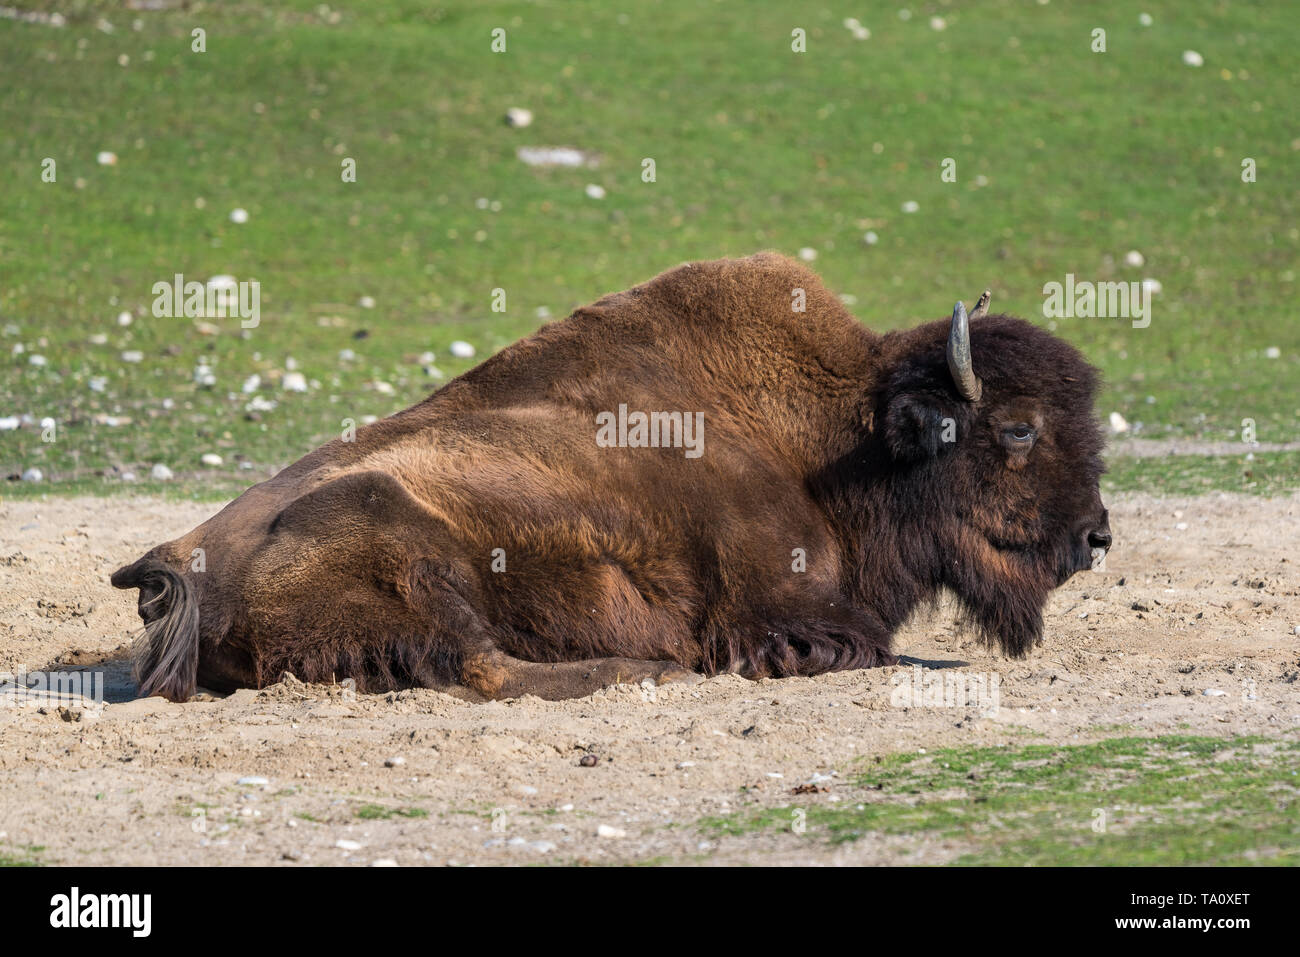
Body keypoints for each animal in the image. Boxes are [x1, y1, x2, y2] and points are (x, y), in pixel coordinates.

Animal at [112, 253, 1111, 701]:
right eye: (1018, 428)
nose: (1097, 534)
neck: (835, 435)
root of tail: (180, 566)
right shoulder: (784, 608)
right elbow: (858, 643)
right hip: (396, 535)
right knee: (485, 666)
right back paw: (646, 665)